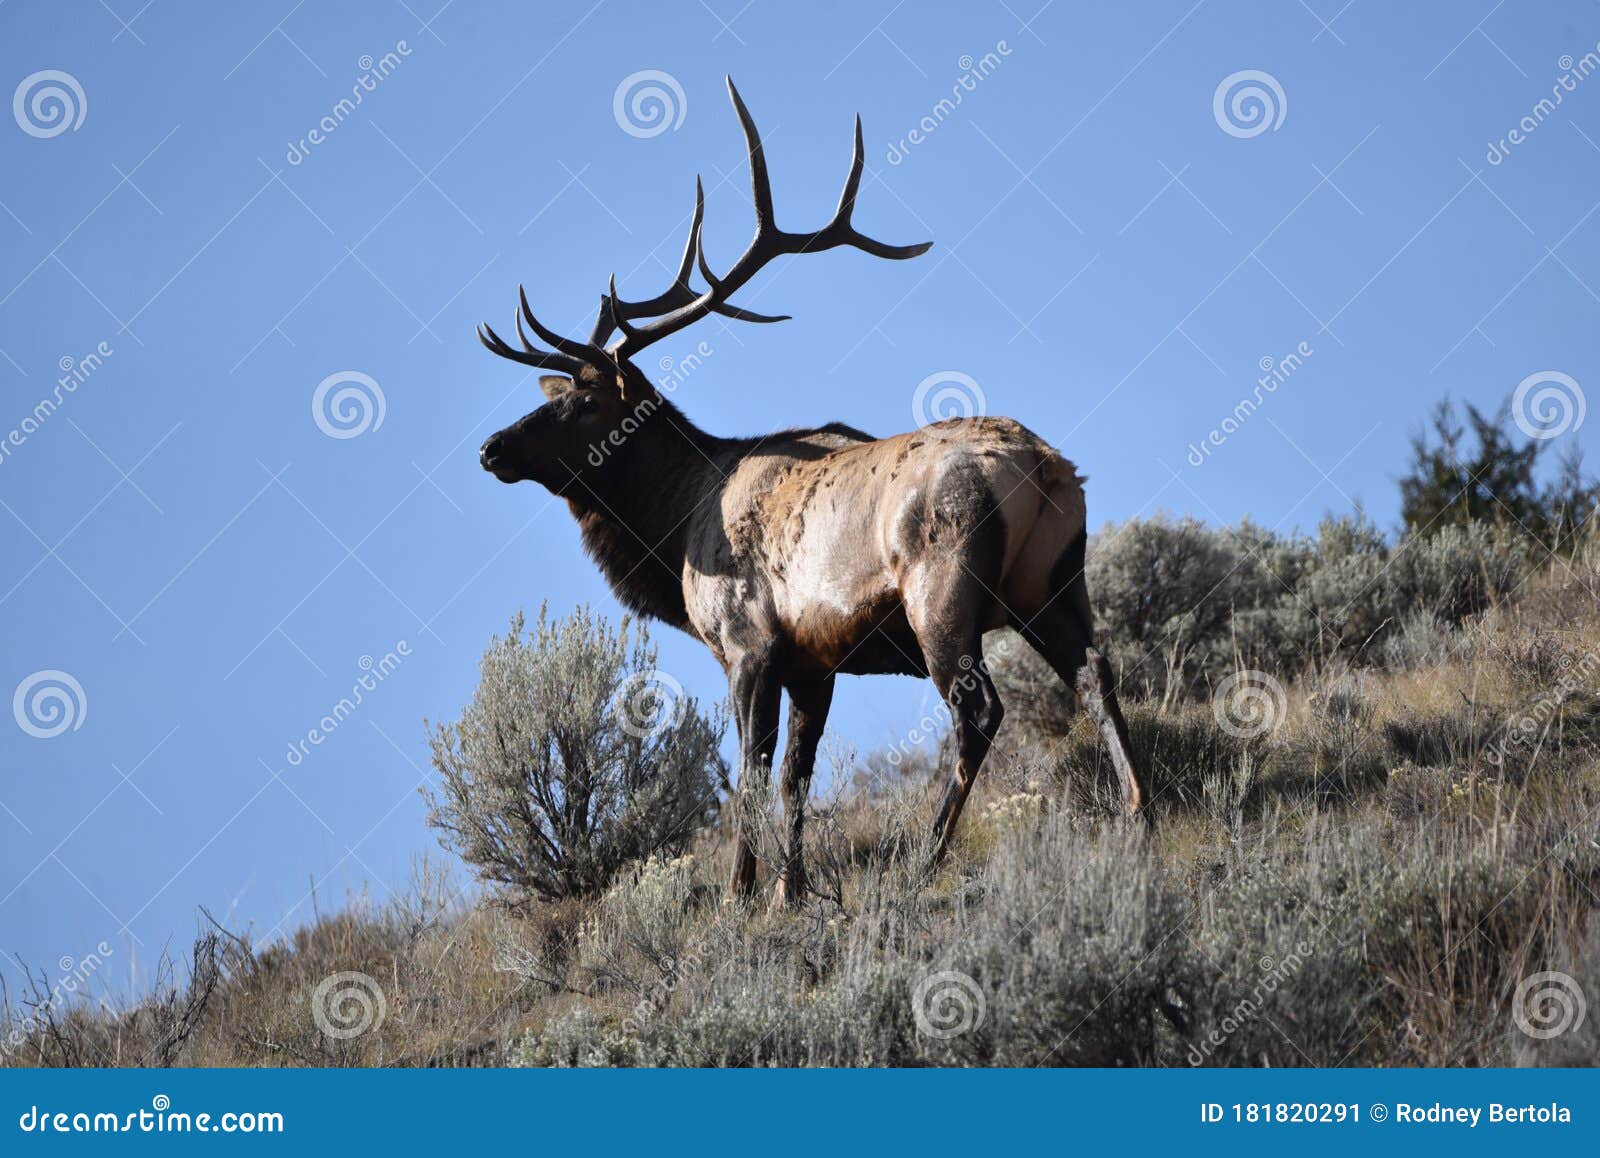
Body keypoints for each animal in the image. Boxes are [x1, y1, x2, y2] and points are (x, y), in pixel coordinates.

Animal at [476, 79, 1144, 909]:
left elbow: (752, 776)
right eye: (558, 393)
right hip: (1049, 582)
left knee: (979, 710)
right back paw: (1139, 813)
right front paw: (789, 892)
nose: (492, 447)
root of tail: (1049, 470)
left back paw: (925, 858)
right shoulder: (815, 662)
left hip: (943, 588)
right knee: (1095, 672)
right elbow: (797, 777)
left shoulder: (749, 643)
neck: (675, 526)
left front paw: (740, 893)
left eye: (588, 401)